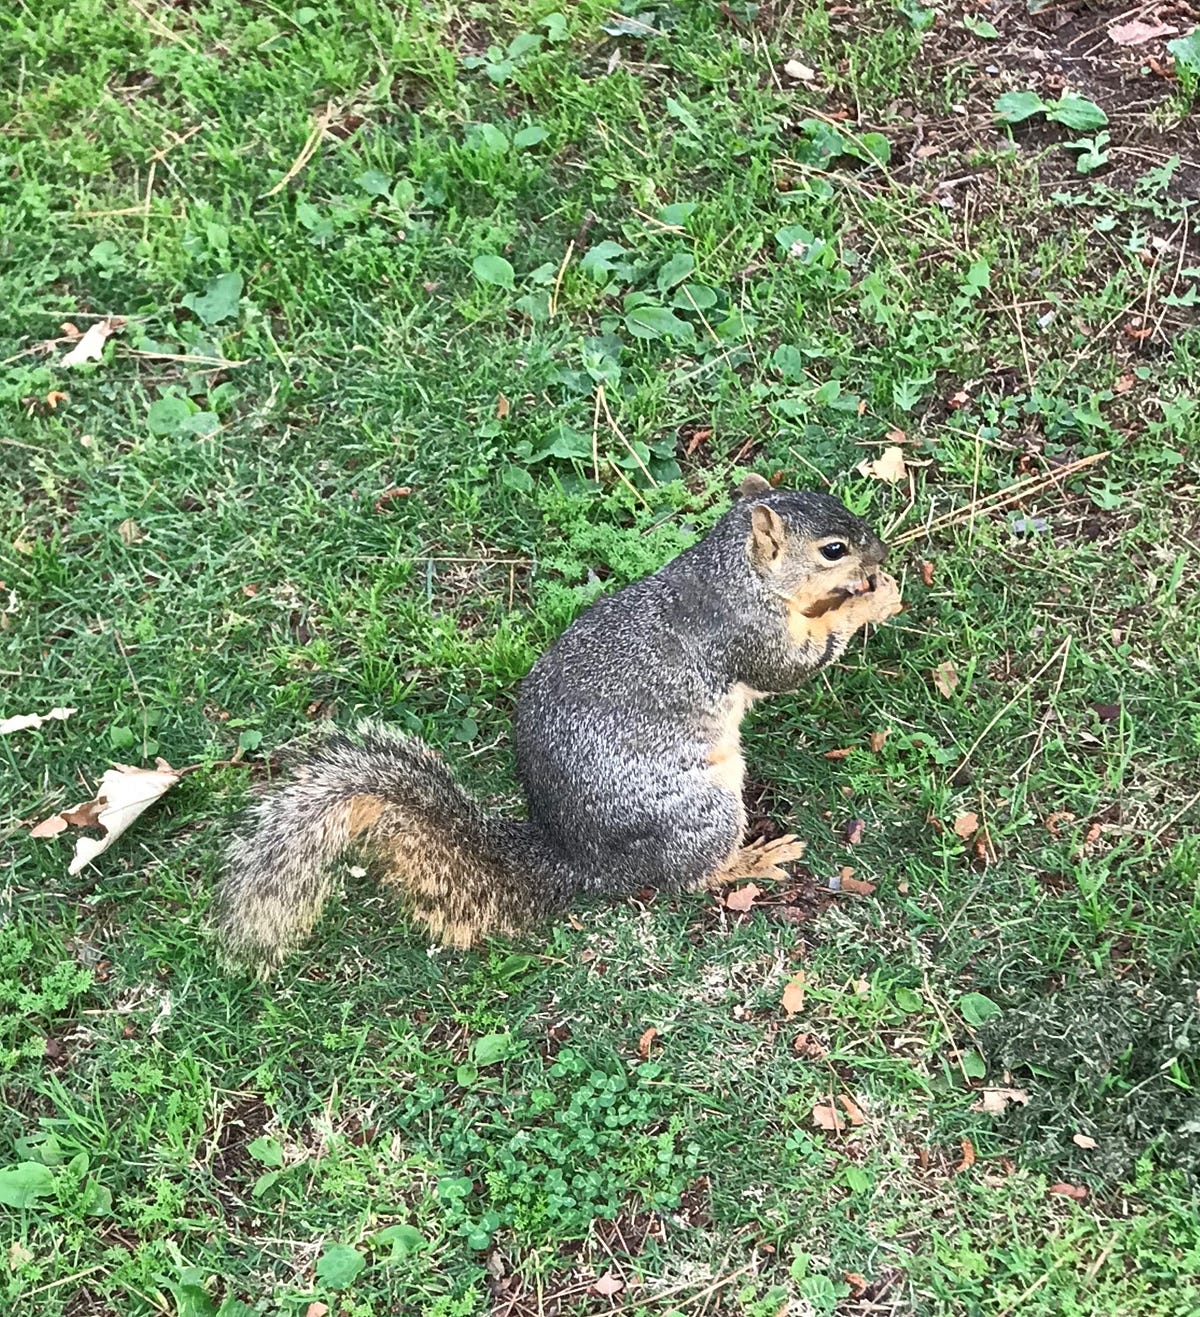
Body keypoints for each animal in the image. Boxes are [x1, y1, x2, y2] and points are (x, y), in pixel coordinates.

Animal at [215, 474, 902, 973]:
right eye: (833, 549)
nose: (882, 554)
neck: (734, 571)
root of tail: (580, 860)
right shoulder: (745, 634)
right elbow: (794, 665)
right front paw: (871, 600)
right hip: (698, 811)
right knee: (691, 876)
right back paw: (755, 858)